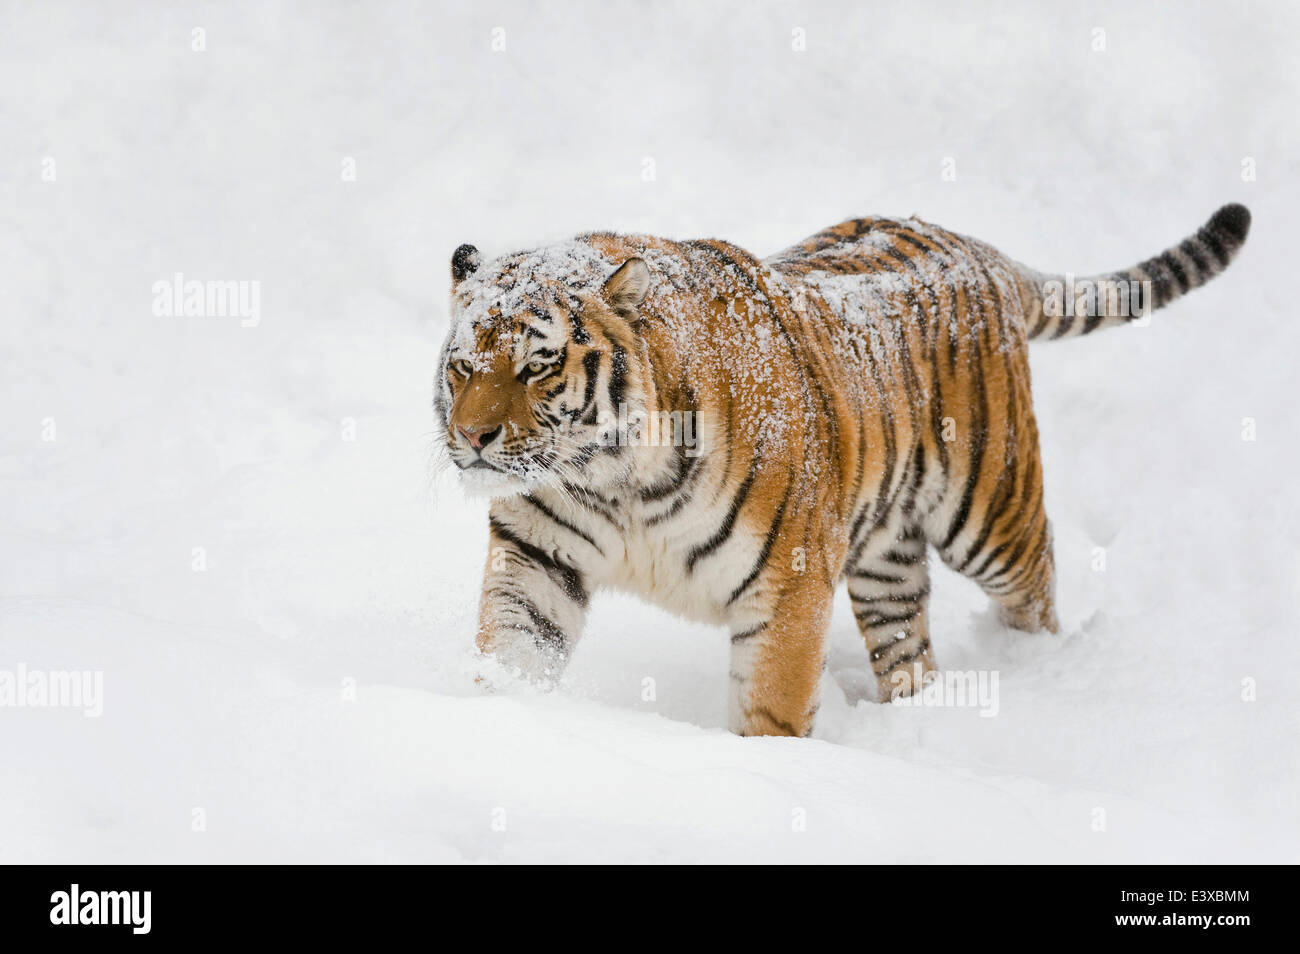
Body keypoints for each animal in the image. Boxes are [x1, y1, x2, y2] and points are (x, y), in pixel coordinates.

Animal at [434, 203, 1251, 737]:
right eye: (464, 365)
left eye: (538, 366)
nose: (470, 435)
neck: (614, 482)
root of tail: (974, 247)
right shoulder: (537, 556)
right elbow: (512, 652)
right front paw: (500, 715)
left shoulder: (787, 586)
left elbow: (772, 706)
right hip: (887, 556)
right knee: (908, 643)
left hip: (990, 513)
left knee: (1038, 576)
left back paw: (1034, 666)